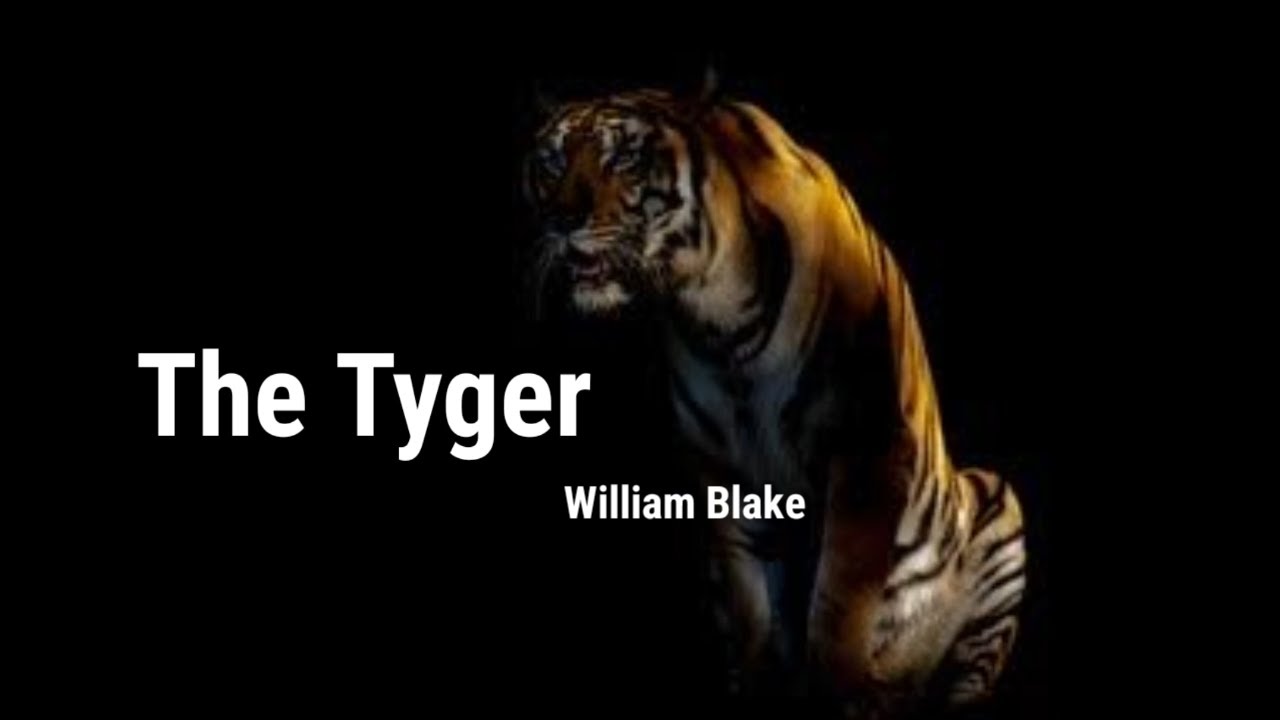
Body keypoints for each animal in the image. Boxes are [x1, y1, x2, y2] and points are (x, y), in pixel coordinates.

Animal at [523, 83, 1027, 717]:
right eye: (550, 163)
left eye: (626, 158)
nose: (561, 220)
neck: (715, 316)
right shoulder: (719, 467)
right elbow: (750, 600)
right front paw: (764, 682)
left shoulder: (863, 444)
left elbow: (840, 593)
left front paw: (842, 692)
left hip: (996, 504)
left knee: (970, 668)